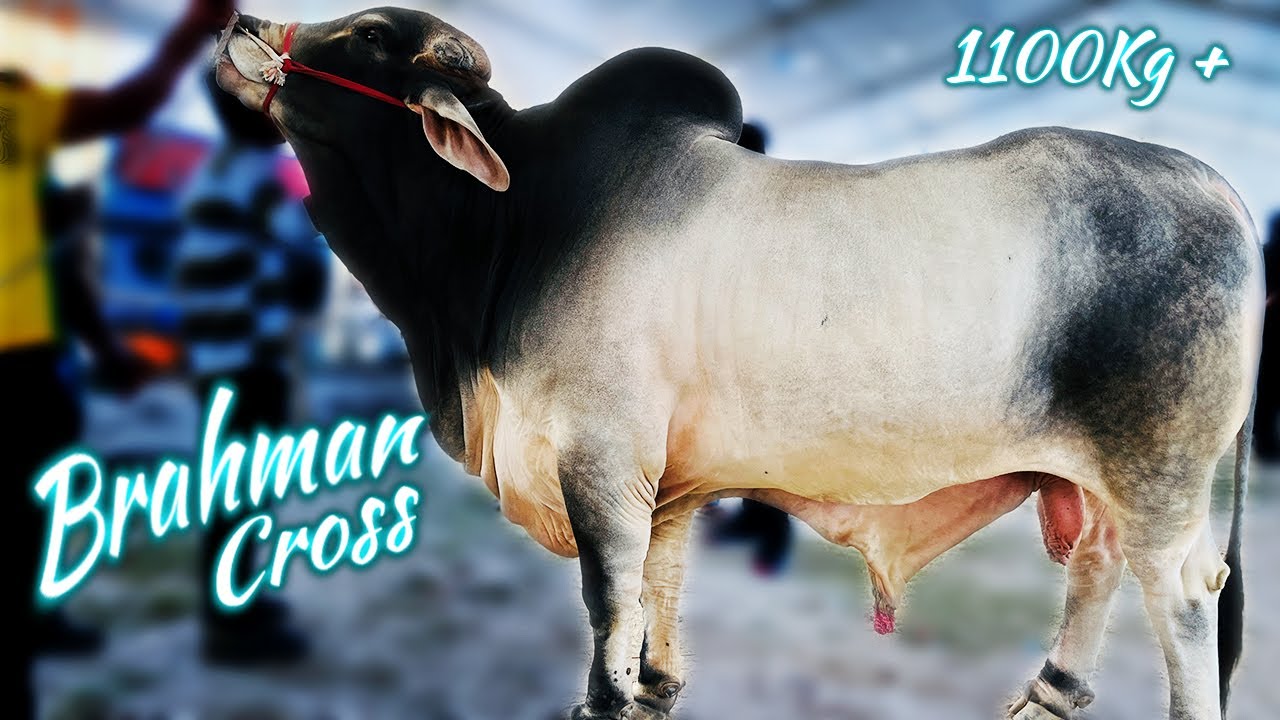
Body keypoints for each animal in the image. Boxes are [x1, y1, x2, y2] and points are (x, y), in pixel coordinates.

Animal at [215, 8, 1264, 719]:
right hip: (1094, 473)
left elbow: (610, 594)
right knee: (1097, 563)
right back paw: (1051, 689)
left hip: (1161, 471)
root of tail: (1218, 185)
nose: (240, 25)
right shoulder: (666, 479)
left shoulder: (599, 458)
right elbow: (660, 586)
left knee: (1182, 599)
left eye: (368, 35)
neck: (515, 228)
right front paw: (655, 688)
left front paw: (604, 699)